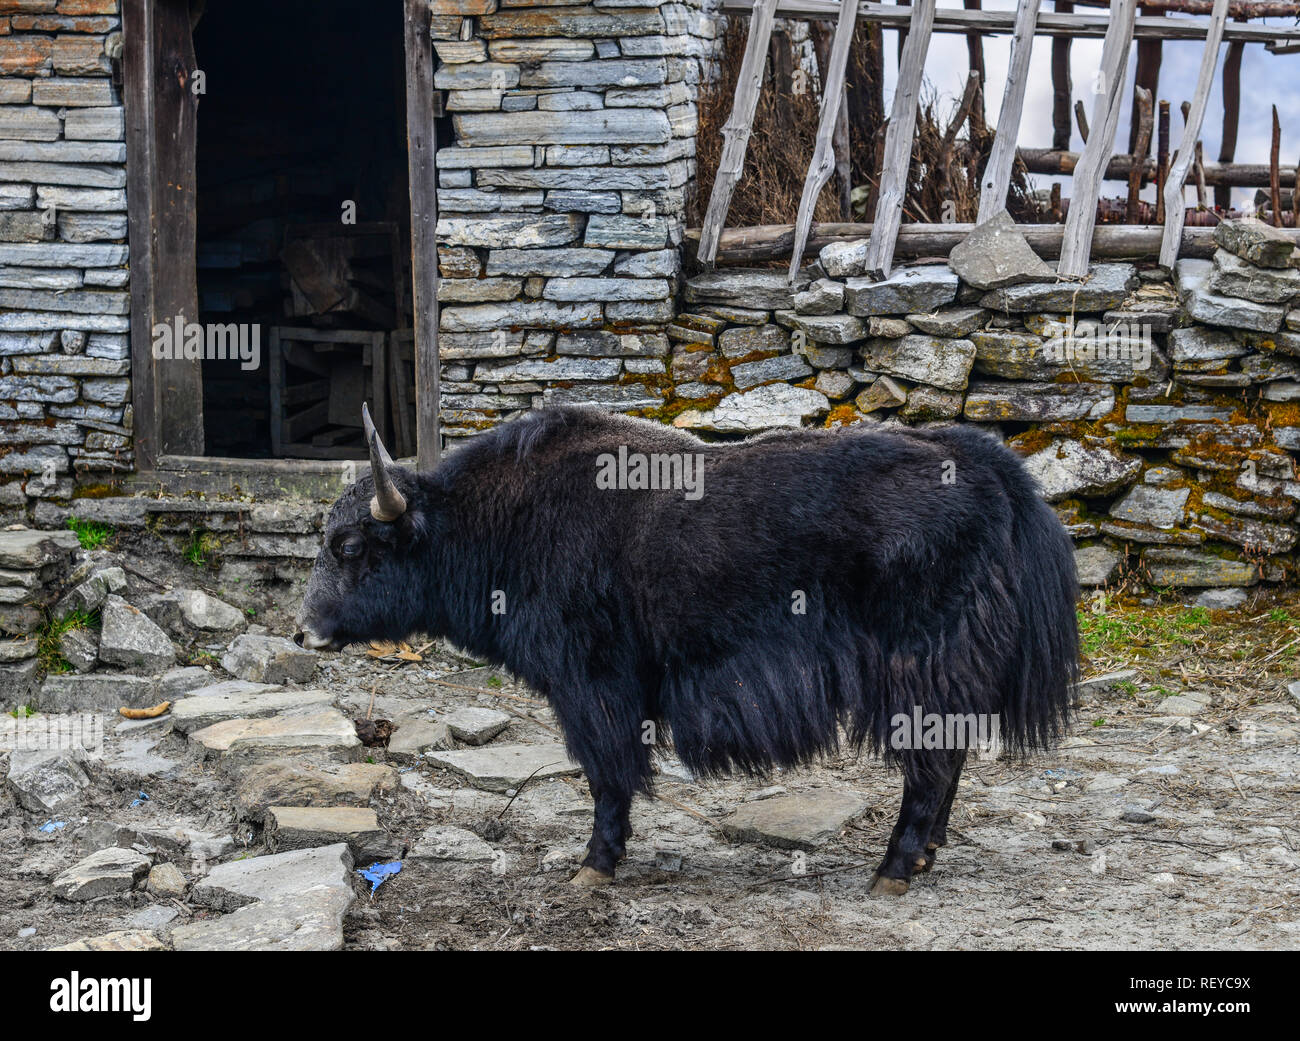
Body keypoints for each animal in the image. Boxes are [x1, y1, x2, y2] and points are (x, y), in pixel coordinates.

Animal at [295, 403, 1079, 893]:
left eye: (351, 545)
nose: (304, 630)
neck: (500, 523)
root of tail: (976, 460)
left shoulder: (592, 683)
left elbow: (607, 773)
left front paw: (594, 864)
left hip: (920, 663)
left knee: (930, 764)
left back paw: (893, 868)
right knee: (947, 759)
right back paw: (923, 858)